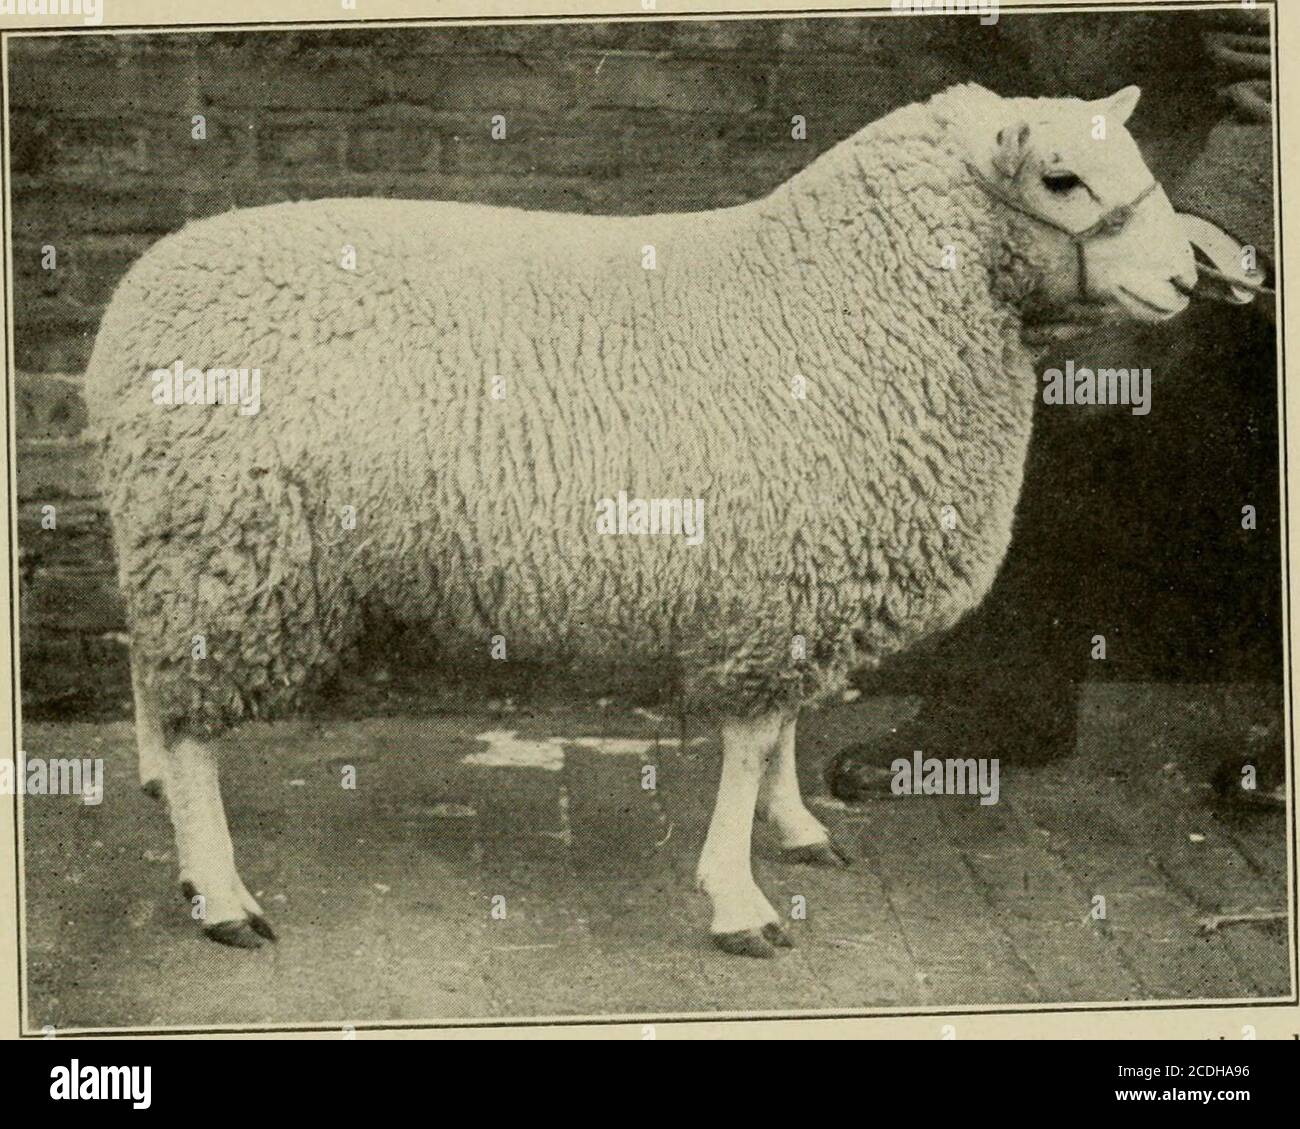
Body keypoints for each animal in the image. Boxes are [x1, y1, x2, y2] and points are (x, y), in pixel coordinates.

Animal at [85, 82, 1203, 957]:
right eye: (1062, 180)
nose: (1192, 276)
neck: (848, 294)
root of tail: (137, 296)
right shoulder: (779, 571)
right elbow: (750, 738)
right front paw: (739, 898)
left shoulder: (797, 571)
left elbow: (783, 728)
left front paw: (795, 826)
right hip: (231, 536)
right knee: (192, 724)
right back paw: (220, 891)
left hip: (182, 535)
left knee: (149, 664)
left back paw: (155, 789)